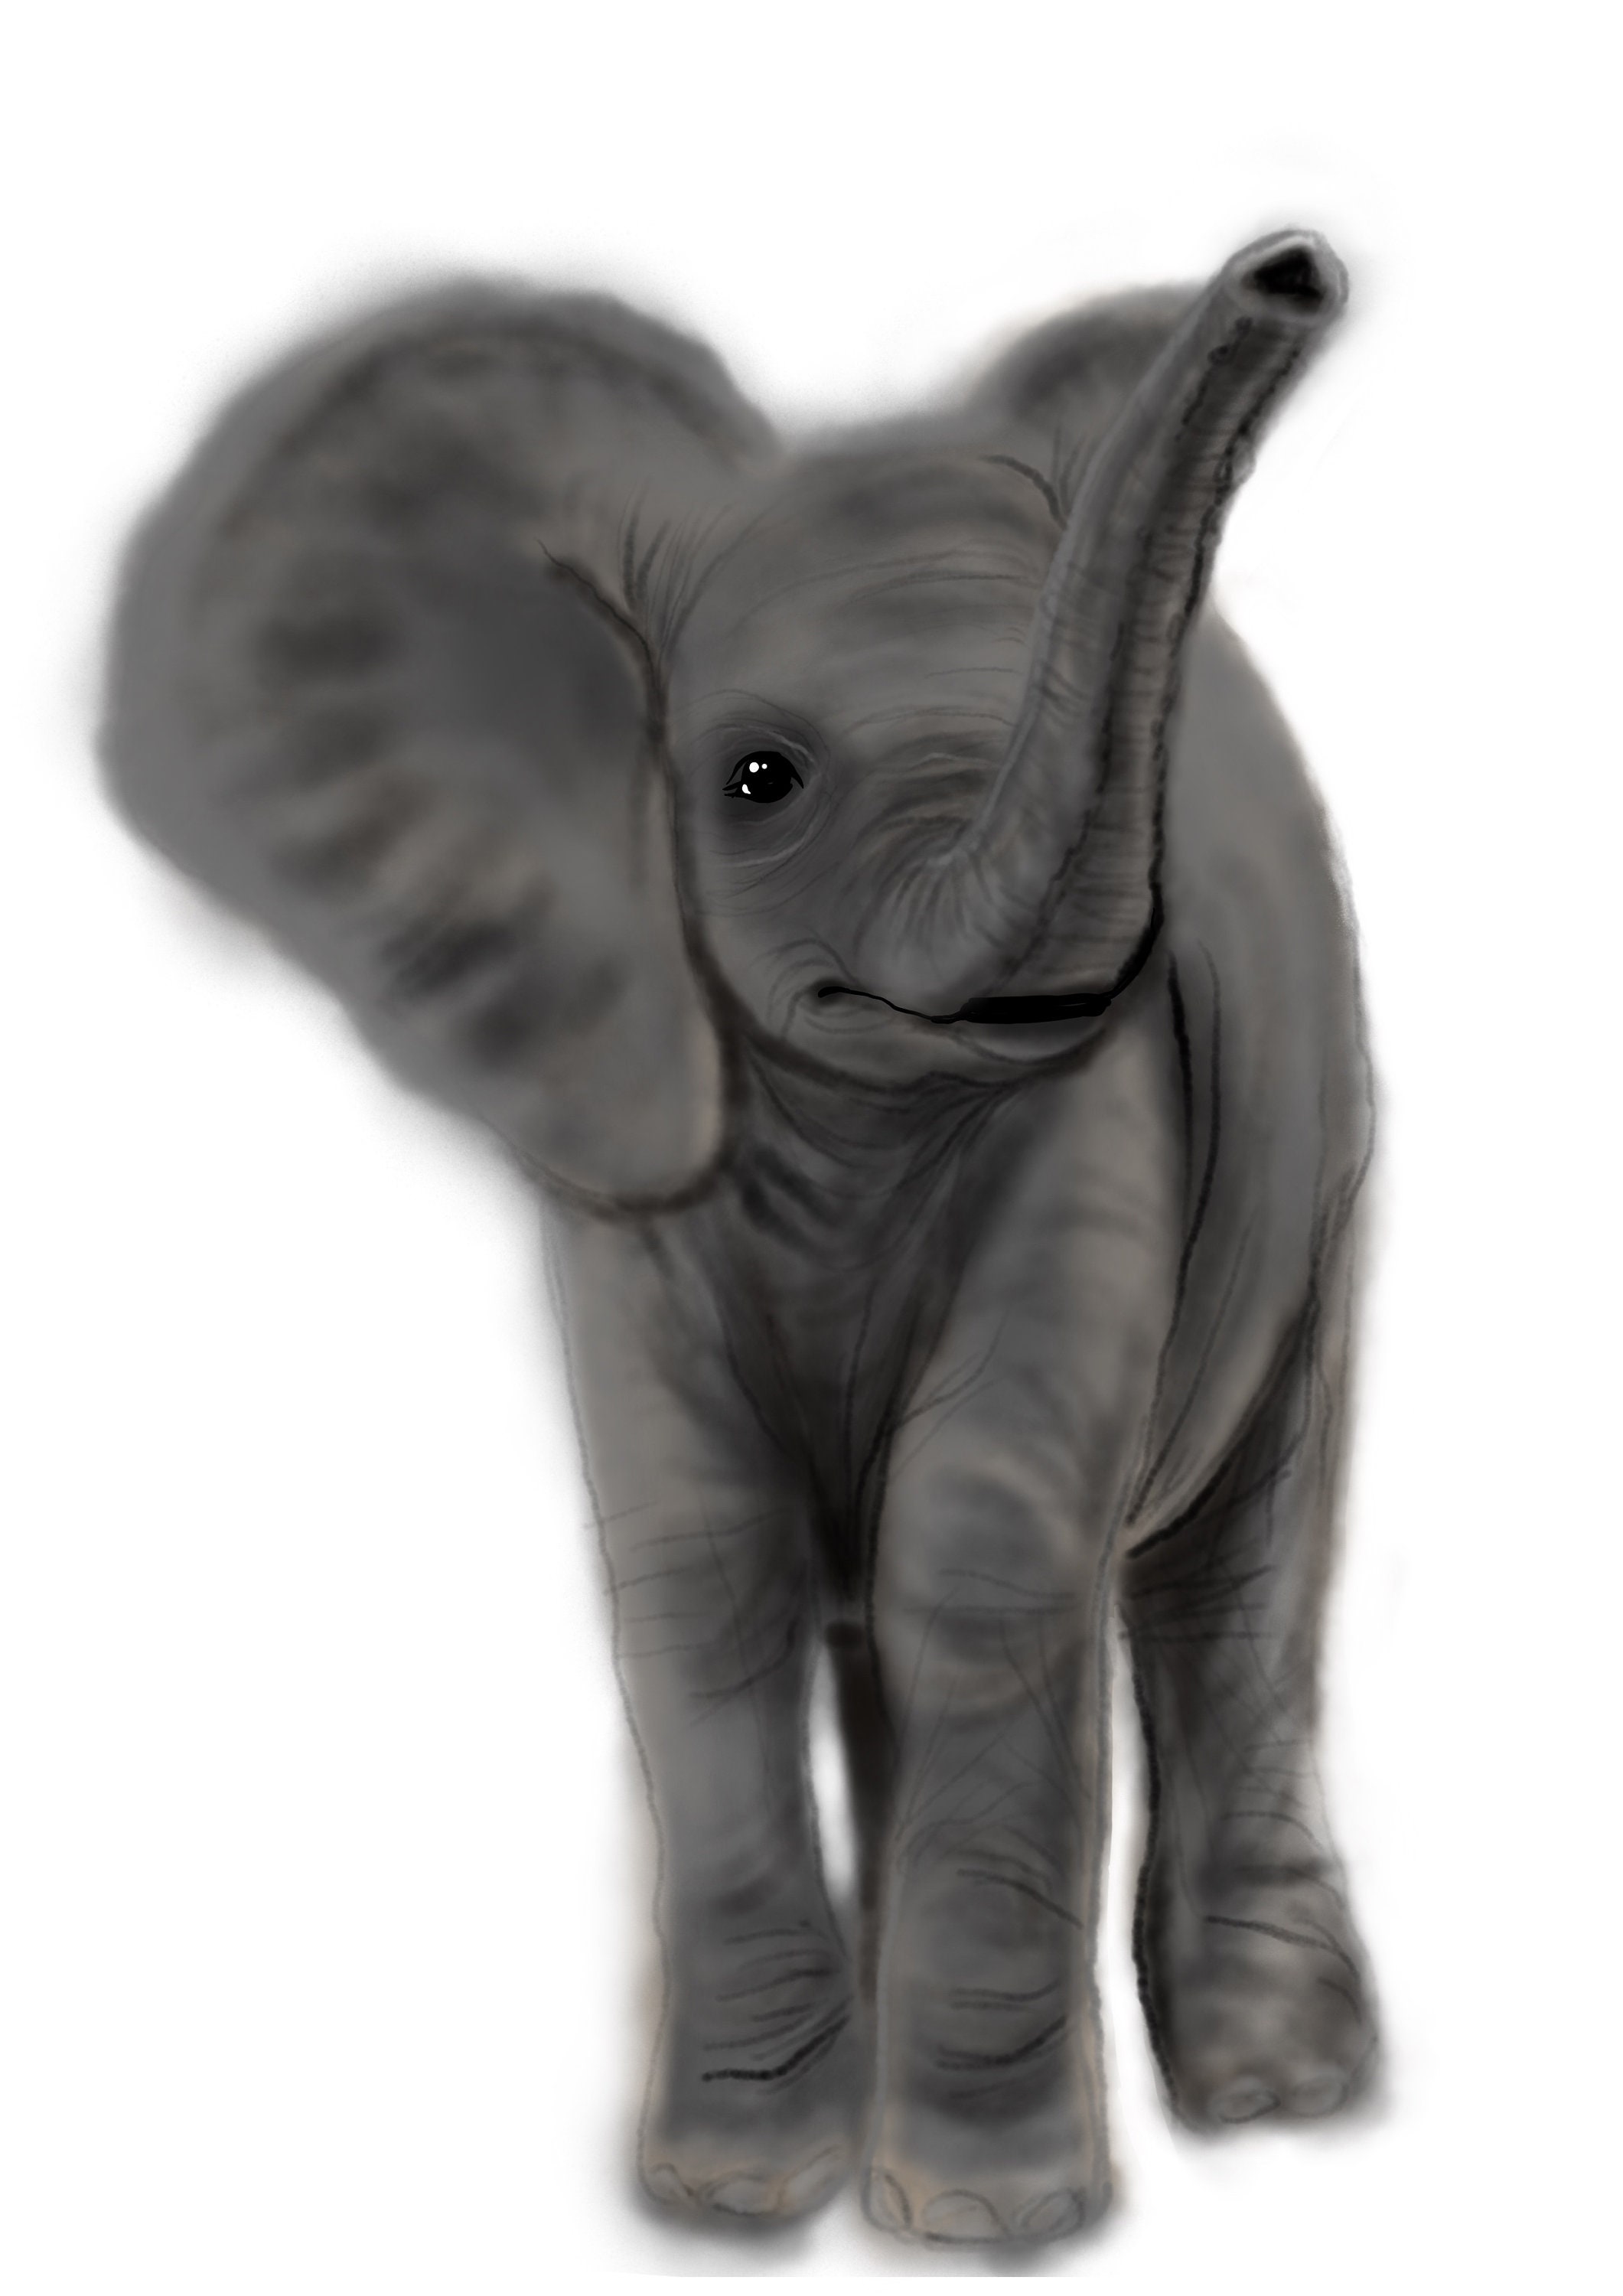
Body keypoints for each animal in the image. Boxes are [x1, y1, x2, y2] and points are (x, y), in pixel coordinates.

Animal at [102, 227, 1378, 2246]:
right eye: (757, 779)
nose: (1291, 267)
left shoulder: (1102, 1101)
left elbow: (982, 1545)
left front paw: (981, 2223)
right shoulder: (632, 1106)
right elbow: (701, 1564)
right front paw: (735, 2196)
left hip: (1317, 1115)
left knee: (1236, 1561)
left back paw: (1274, 2099)